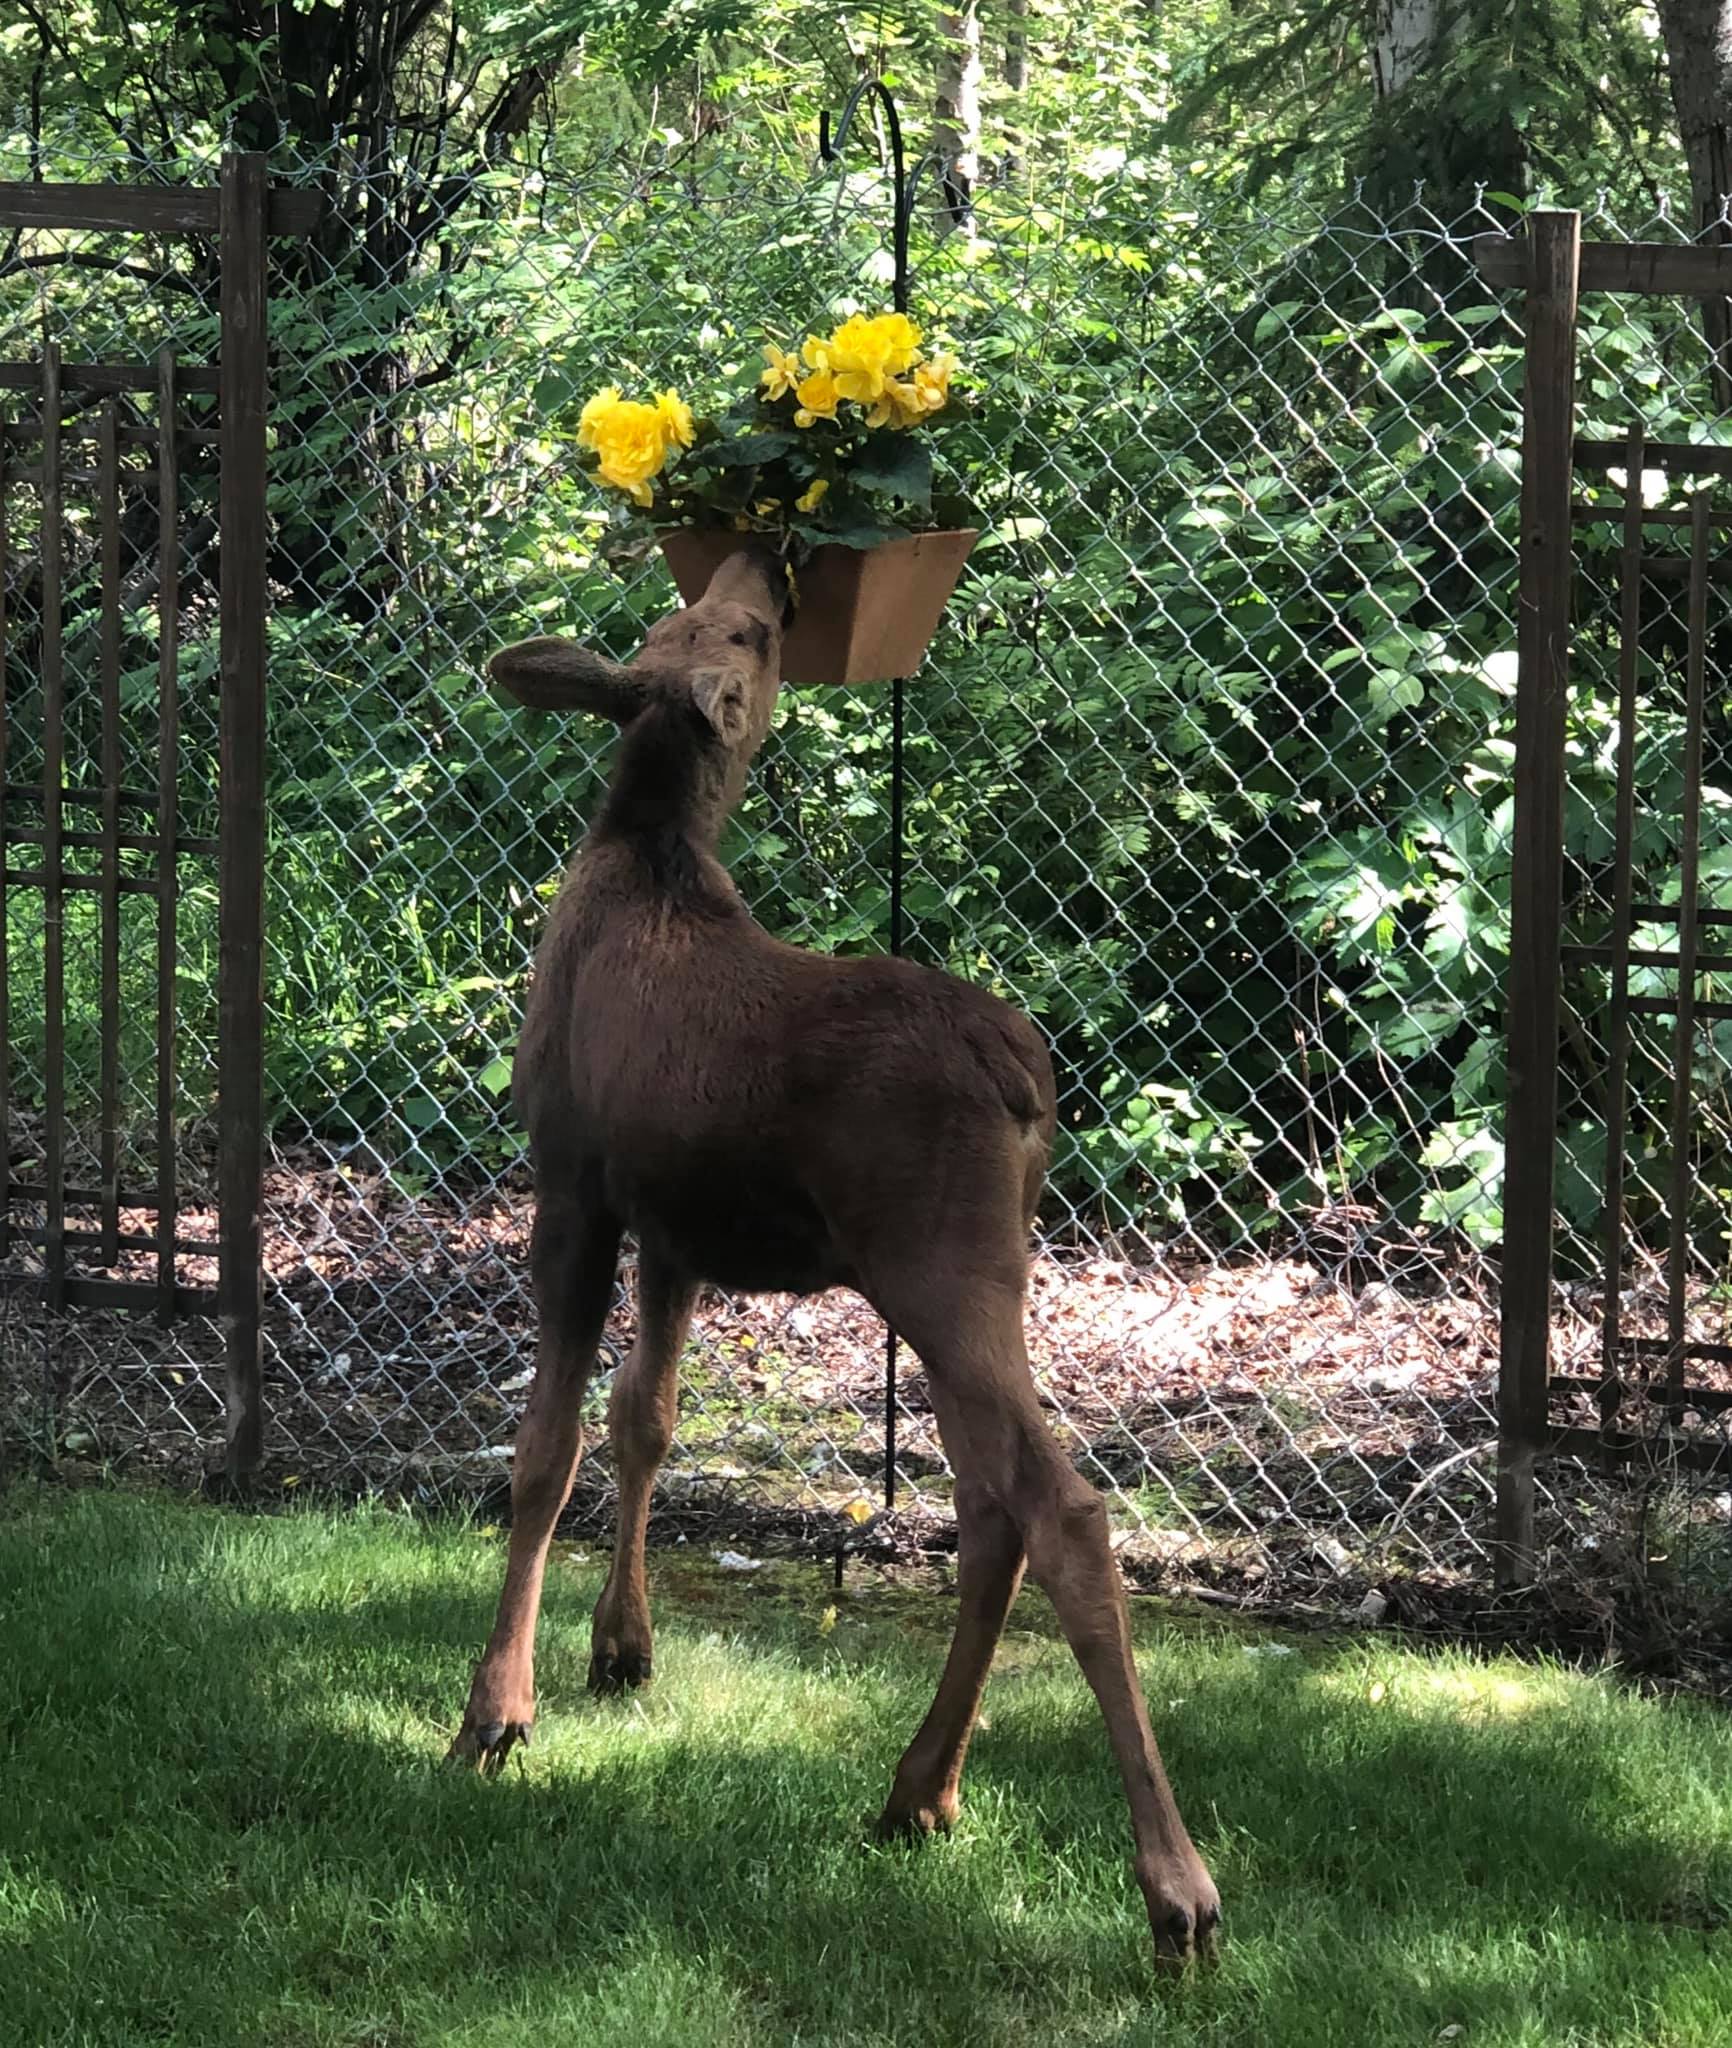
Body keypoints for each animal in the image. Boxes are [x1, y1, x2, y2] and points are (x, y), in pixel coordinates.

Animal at [449, 544, 1221, 1969]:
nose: (768, 561)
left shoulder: (573, 1181)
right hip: (979, 1277)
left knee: (1060, 1506)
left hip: (935, 1265)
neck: (641, 848)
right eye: (703, 615)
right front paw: (620, 1648)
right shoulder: (676, 1222)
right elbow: (647, 1416)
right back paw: (920, 1787)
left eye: (746, 630)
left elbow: (544, 1451)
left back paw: (1174, 1885)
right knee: (991, 1505)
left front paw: (495, 1707)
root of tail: (1027, 1077)